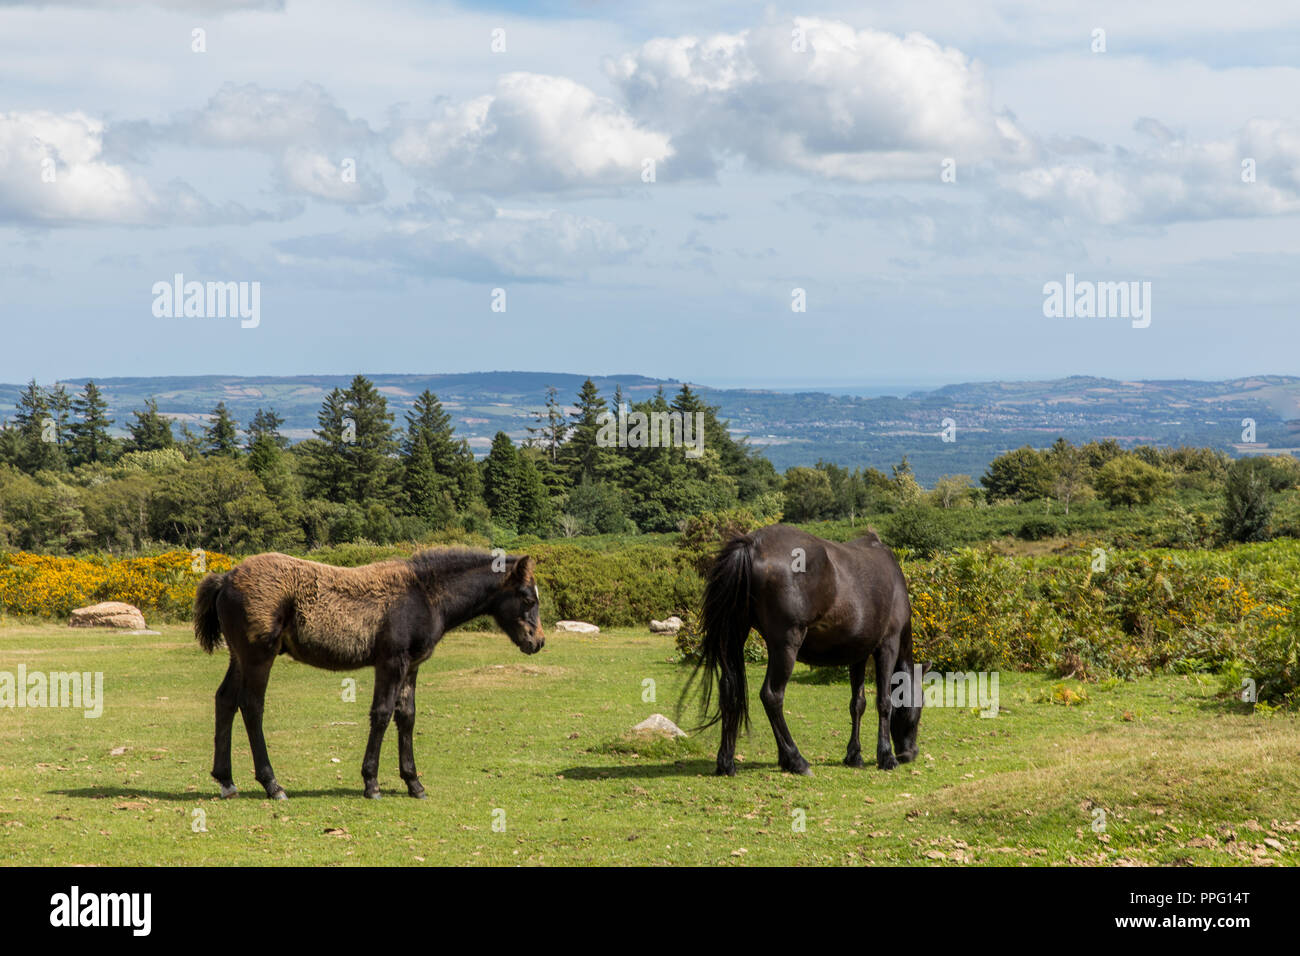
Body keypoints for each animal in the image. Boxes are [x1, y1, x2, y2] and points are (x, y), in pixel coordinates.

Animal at [193, 548, 543, 800]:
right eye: (527, 597)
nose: (537, 641)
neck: (424, 595)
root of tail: (225, 579)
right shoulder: (391, 662)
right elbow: (382, 714)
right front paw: (371, 783)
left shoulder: (412, 666)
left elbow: (407, 716)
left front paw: (414, 783)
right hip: (258, 656)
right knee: (251, 707)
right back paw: (272, 784)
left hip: (239, 656)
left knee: (225, 700)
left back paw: (226, 781)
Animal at [684, 524, 921, 776]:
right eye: (919, 705)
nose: (910, 753)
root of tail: (752, 544)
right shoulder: (887, 646)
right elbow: (884, 702)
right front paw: (886, 756)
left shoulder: (858, 653)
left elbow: (857, 704)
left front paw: (854, 755)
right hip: (786, 646)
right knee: (772, 696)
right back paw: (796, 759)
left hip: (734, 636)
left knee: (729, 690)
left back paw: (727, 763)